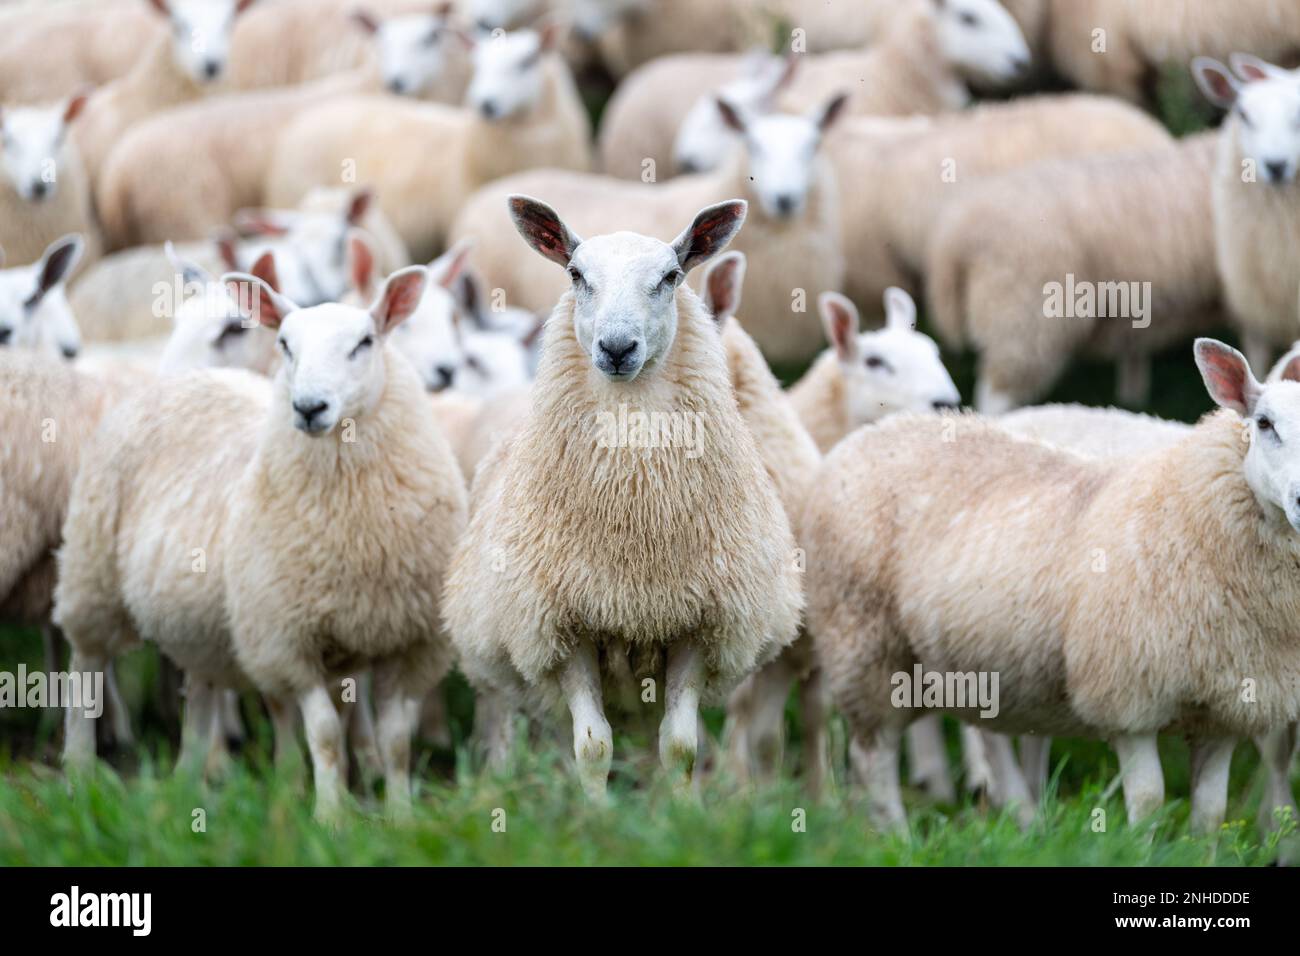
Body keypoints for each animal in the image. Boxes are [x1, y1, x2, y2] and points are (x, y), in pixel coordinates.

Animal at [56, 263, 468, 818]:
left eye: (364, 342)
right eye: (285, 344)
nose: (309, 407)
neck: (354, 524)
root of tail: (188, 377)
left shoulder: (406, 639)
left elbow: (397, 740)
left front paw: (401, 816)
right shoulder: (286, 638)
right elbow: (324, 735)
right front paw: (330, 817)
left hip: (200, 623)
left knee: (200, 693)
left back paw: (187, 782)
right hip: (92, 574)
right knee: (86, 671)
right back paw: (79, 774)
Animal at [442, 196, 803, 797]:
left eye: (671, 276)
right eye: (575, 274)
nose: (616, 347)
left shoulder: (698, 625)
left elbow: (680, 747)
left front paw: (682, 810)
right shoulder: (562, 630)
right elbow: (592, 747)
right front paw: (596, 812)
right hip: (505, 656)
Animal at [803, 338, 1300, 836]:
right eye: (1264, 424)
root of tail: (870, 433)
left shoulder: (1227, 709)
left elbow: (1210, 815)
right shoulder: (1127, 699)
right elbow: (1149, 801)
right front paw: (1141, 845)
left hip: (977, 663)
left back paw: (1020, 816)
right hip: (865, 642)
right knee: (872, 755)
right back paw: (898, 837)